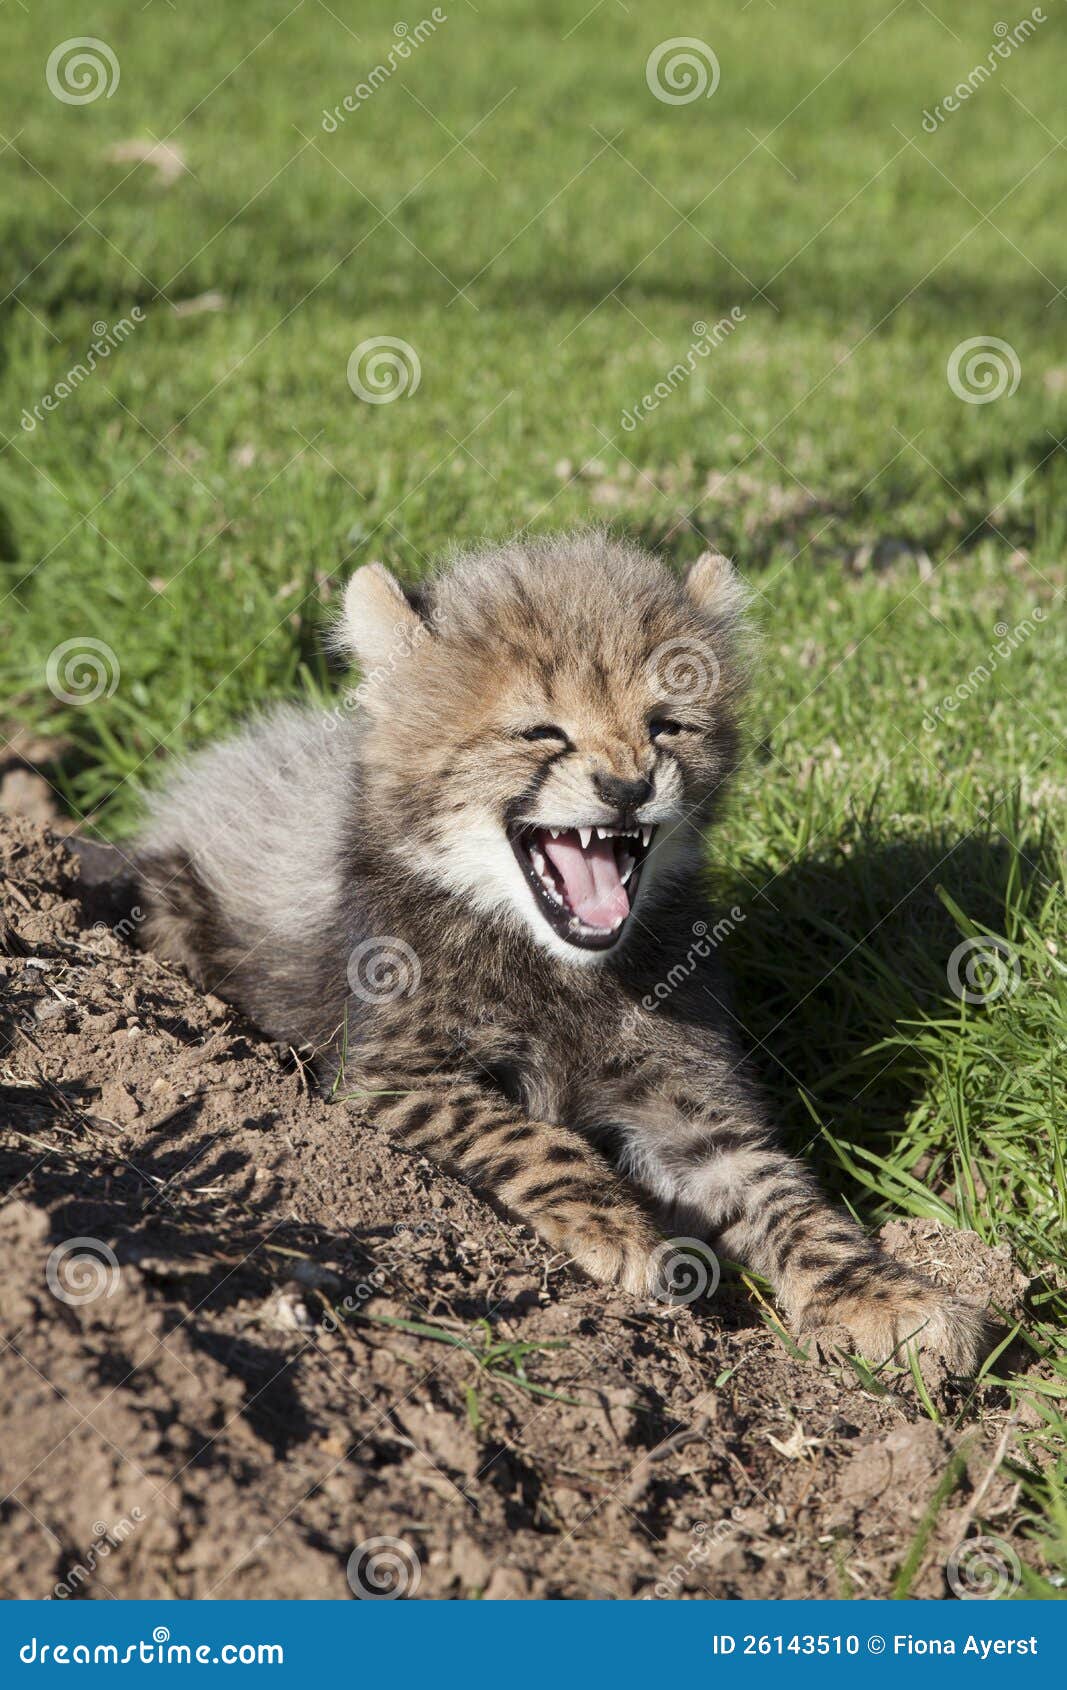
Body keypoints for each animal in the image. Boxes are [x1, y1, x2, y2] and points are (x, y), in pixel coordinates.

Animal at [133, 529, 988, 1373]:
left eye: (665, 725)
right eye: (541, 731)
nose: (628, 788)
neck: (556, 966)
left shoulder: (689, 1112)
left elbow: (786, 1197)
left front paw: (879, 1296)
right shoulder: (387, 1079)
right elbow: (528, 1136)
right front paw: (621, 1231)